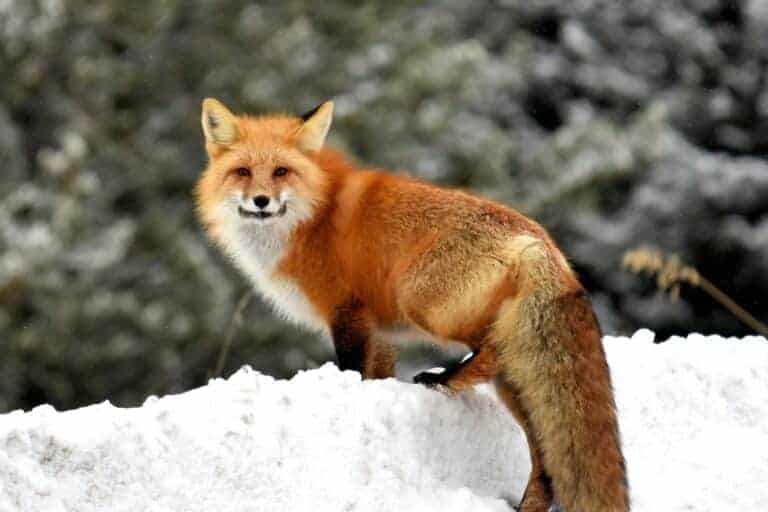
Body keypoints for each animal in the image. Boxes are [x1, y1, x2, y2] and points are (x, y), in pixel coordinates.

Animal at [195, 98, 629, 512]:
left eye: (281, 171)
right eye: (243, 172)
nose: (261, 201)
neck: (310, 217)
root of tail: (540, 243)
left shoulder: (347, 312)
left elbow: (352, 368)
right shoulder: (379, 331)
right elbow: (379, 374)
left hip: (421, 300)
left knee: (493, 350)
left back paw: (444, 378)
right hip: (515, 381)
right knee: (545, 464)